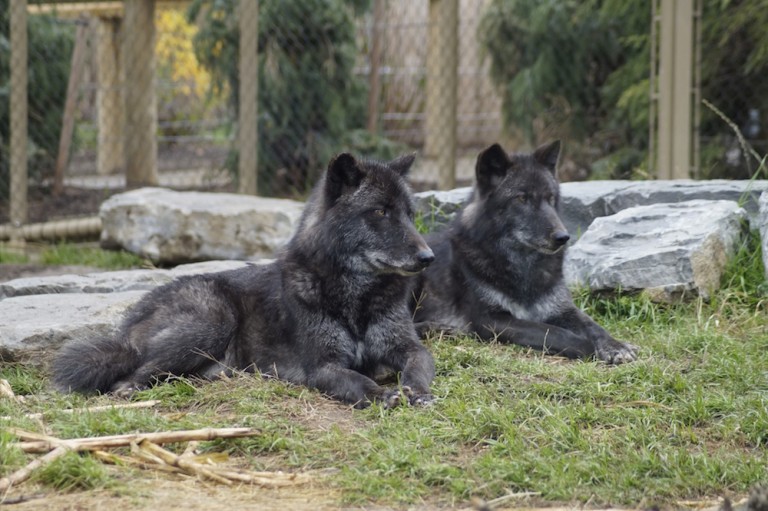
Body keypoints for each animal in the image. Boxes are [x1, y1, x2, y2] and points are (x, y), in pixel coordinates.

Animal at [54, 153, 437, 408]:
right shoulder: (323, 366)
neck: (358, 298)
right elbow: (359, 380)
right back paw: (130, 389)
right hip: (212, 321)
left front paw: (417, 392)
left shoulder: (409, 347)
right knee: (131, 373)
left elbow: (419, 365)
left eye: (410, 215)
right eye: (380, 212)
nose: (428, 257)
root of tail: (131, 319)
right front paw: (385, 393)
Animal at [412, 141, 637, 364]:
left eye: (550, 198)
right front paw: (585, 346)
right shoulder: (490, 319)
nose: (563, 237)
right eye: (521, 198)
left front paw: (616, 345)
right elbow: (548, 331)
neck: (524, 267)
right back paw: (439, 328)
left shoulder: (561, 308)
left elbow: (591, 324)